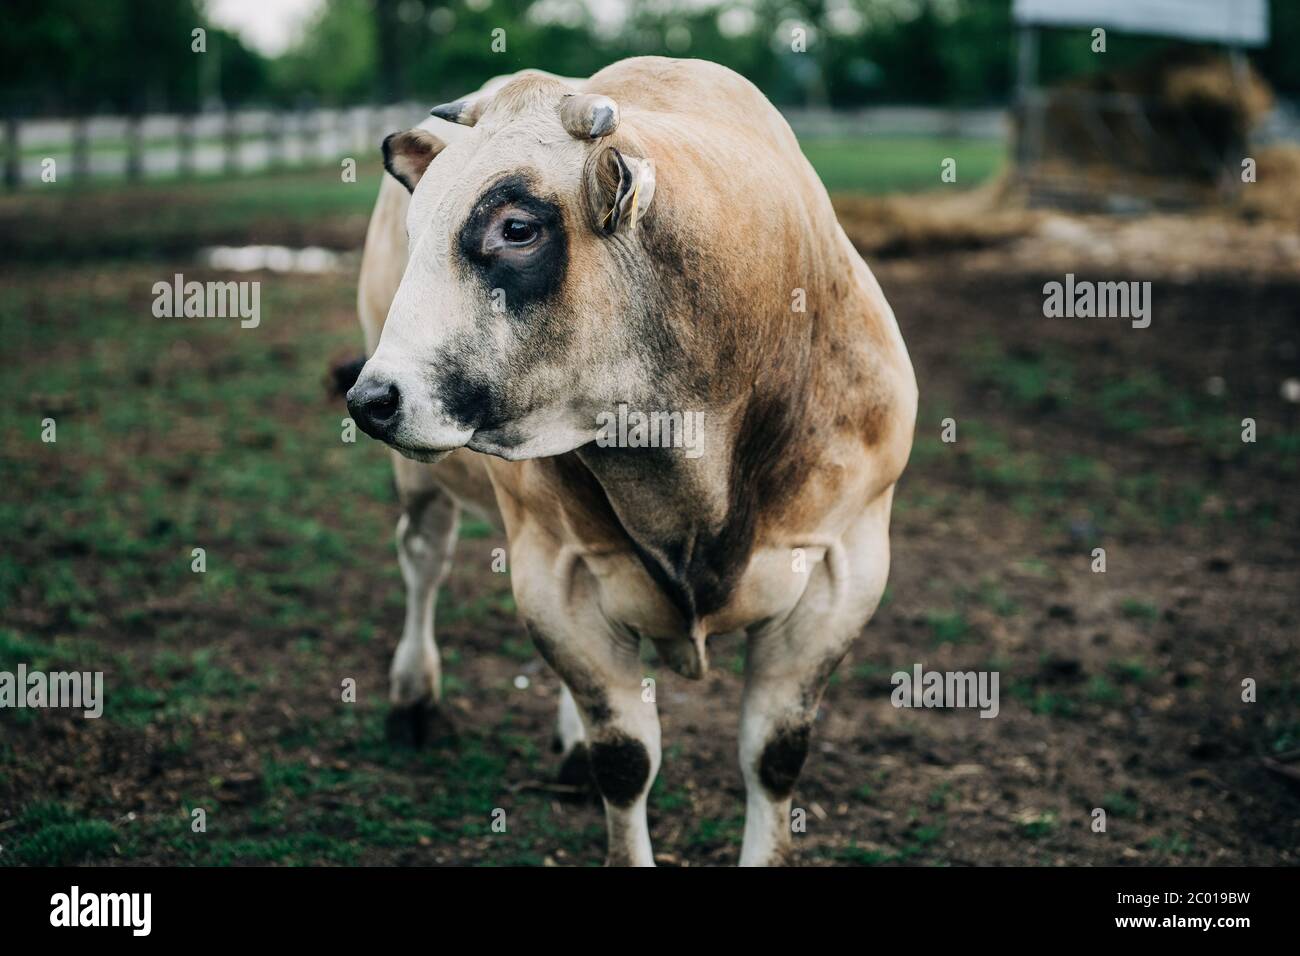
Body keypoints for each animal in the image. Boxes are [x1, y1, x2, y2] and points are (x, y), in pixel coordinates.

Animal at [348, 56, 917, 866]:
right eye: (415, 225)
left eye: (516, 228)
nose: (373, 398)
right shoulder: (555, 569)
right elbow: (624, 759)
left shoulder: (845, 566)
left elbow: (774, 755)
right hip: (429, 483)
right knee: (423, 558)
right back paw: (415, 700)